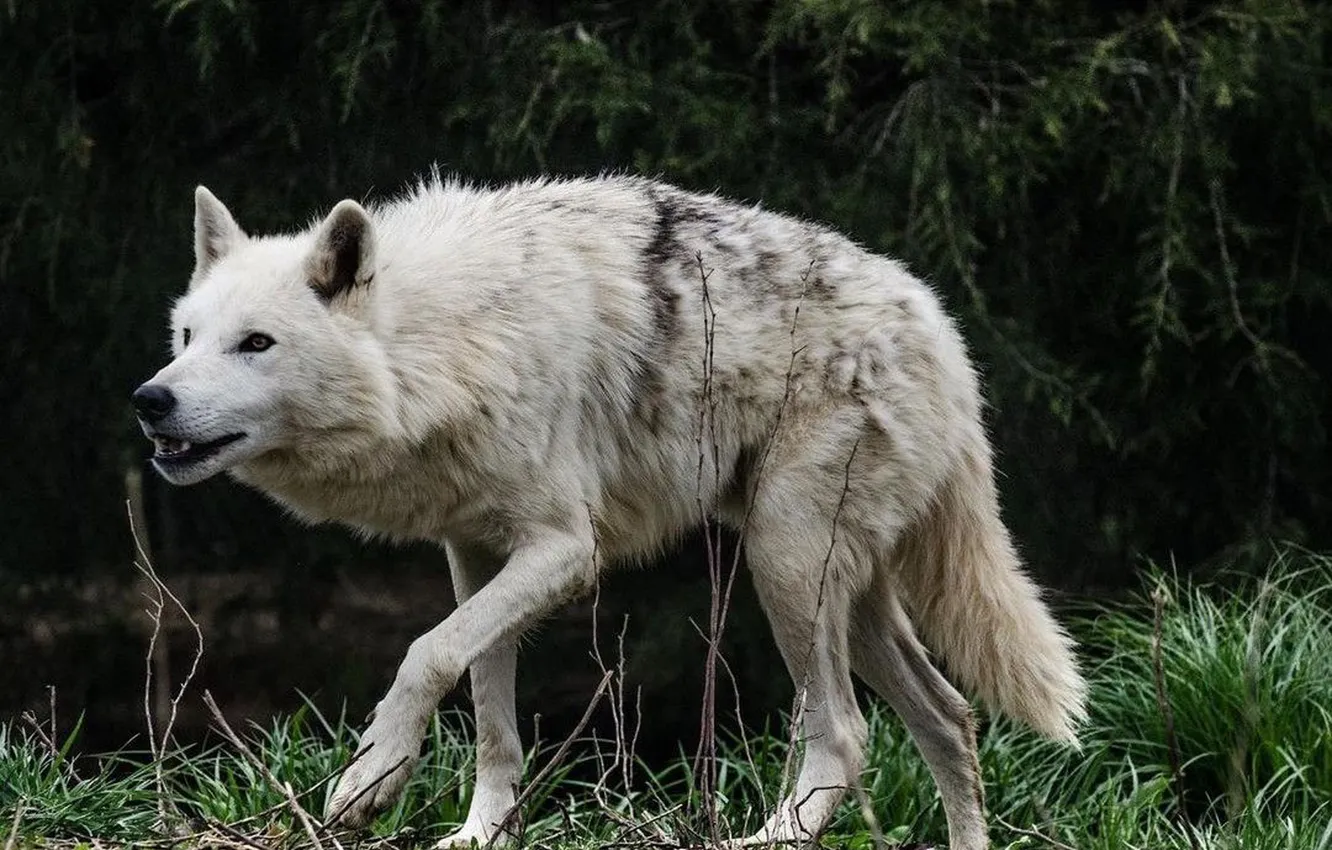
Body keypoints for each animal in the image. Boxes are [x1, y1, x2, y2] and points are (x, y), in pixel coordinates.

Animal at [132, 172, 1087, 850]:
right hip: (842, 593)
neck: (443, 341)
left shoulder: (566, 551)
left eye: (257, 344)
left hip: (782, 562)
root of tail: (942, 330)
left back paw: (761, 838)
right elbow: (489, 710)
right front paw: (479, 832)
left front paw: (369, 783)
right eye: (186, 337)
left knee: (849, 736)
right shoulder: (476, 554)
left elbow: (425, 653)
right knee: (950, 720)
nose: (150, 400)